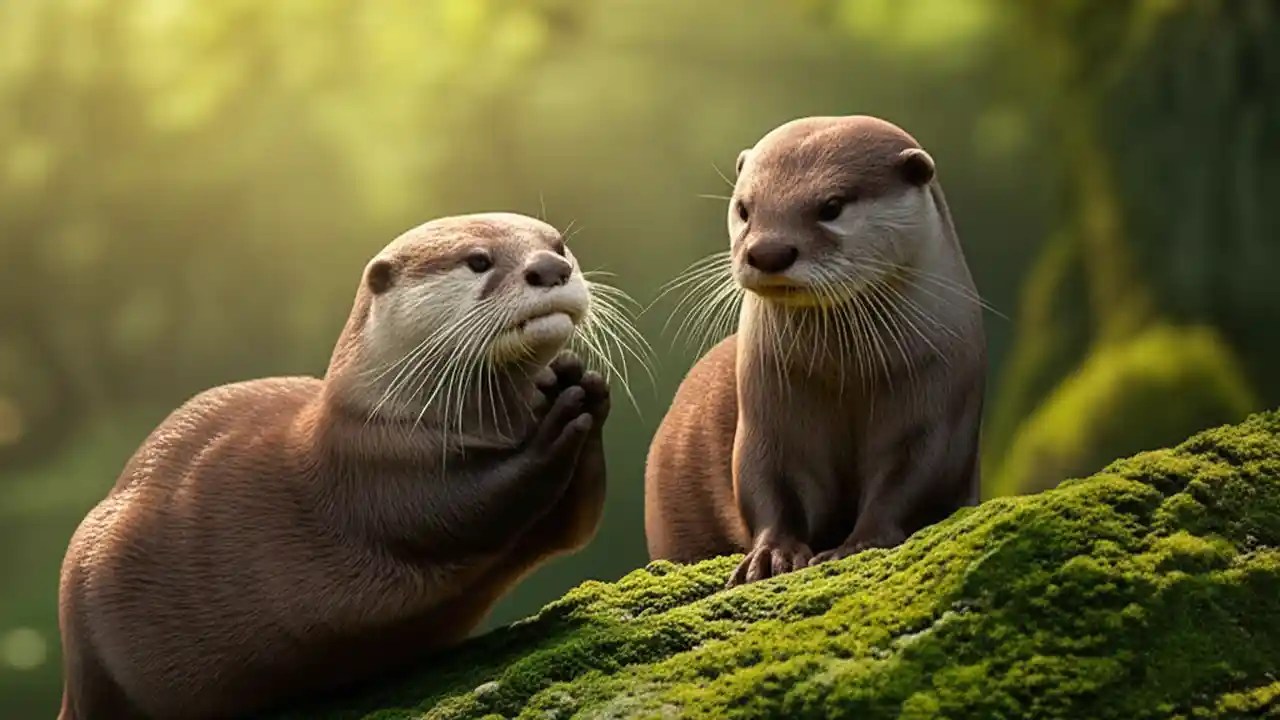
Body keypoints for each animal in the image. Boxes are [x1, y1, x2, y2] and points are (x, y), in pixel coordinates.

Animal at [58, 213, 617, 719]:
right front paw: (555, 422)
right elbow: (465, 508)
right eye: (479, 260)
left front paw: (579, 385)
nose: (551, 268)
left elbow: (574, 524)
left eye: (559, 244)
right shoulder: (375, 468)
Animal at [645, 116, 986, 586]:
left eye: (832, 206)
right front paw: (771, 556)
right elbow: (770, 483)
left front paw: (858, 544)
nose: (768, 251)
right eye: (744, 208)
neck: (846, 375)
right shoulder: (767, 413)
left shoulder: (939, 404)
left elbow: (910, 480)